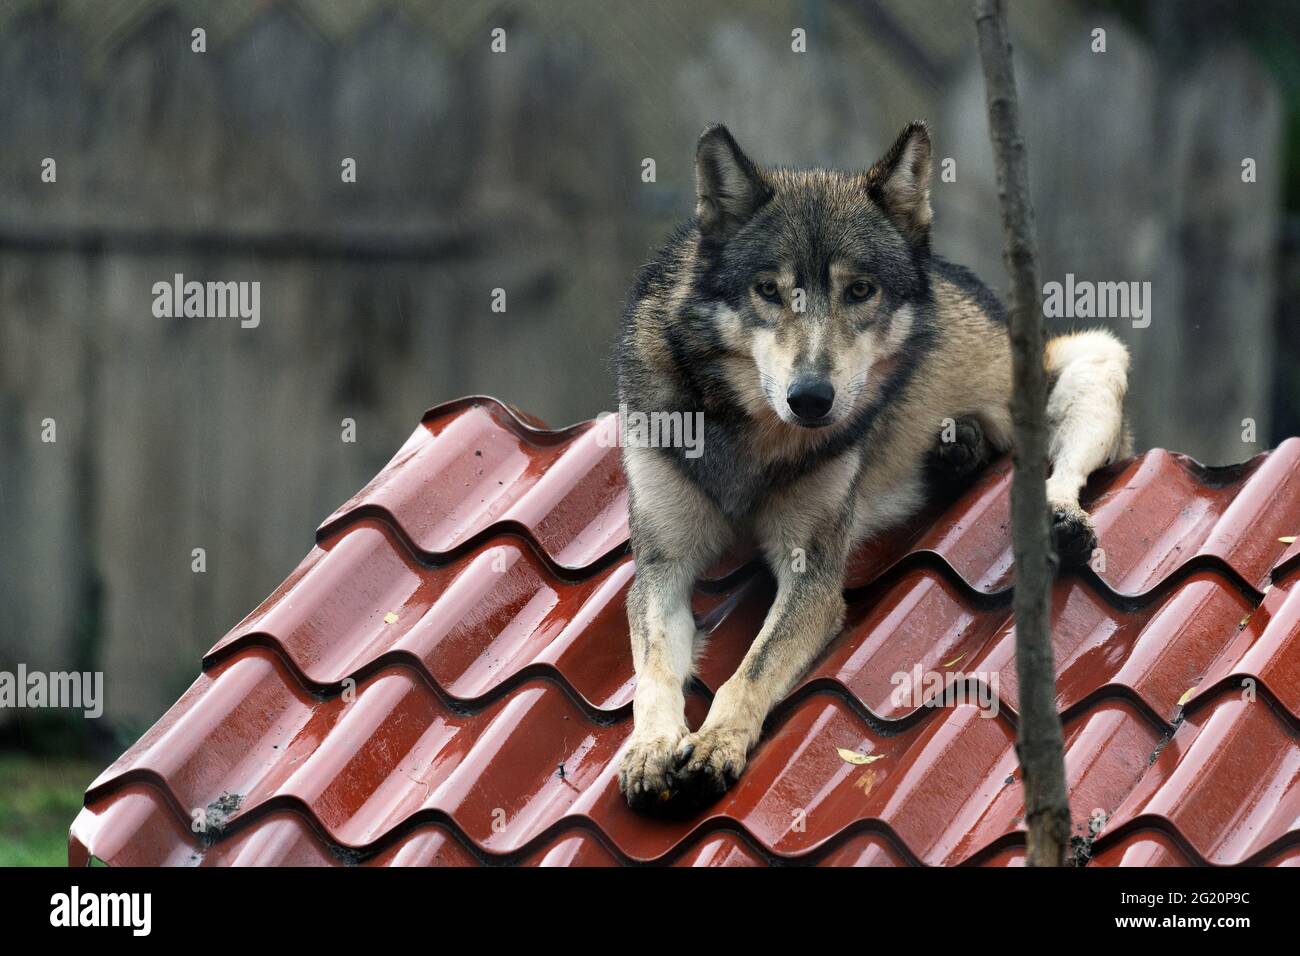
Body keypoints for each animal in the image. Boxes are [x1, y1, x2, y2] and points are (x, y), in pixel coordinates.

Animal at [614, 121, 1130, 808]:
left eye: (859, 291)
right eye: (768, 290)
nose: (810, 398)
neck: (751, 437)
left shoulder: (812, 572)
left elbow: (748, 671)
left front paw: (717, 744)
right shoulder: (662, 564)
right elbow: (653, 670)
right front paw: (650, 747)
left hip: (1095, 358)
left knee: (1064, 470)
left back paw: (1060, 520)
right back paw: (958, 452)